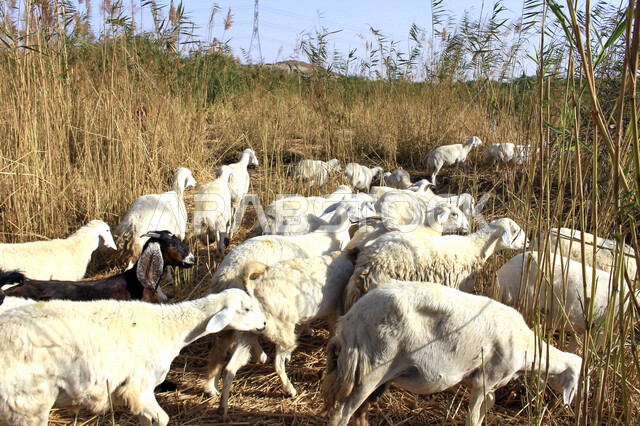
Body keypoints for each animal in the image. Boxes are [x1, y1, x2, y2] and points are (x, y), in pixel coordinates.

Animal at [0, 288, 266, 426]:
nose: (264, 324)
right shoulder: (139, 387)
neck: (169, 329)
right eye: (247, 308)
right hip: (28, 404)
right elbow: (162, 419)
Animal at [206, 249, 359, 419]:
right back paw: (290, 389)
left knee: (229, 368)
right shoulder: (336, 311)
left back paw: (222, 408)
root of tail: (253, 289)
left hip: (248, 333)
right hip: (283, 329)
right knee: (278, 364)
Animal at [323, 280, 582, 426]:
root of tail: (349, 321)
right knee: (340, 415)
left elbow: (487, 407)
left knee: (358, 413)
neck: (526, 344)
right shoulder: (486, 379)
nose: (566, 406)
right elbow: (474, 417)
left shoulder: (486, 383)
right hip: (370, 370)